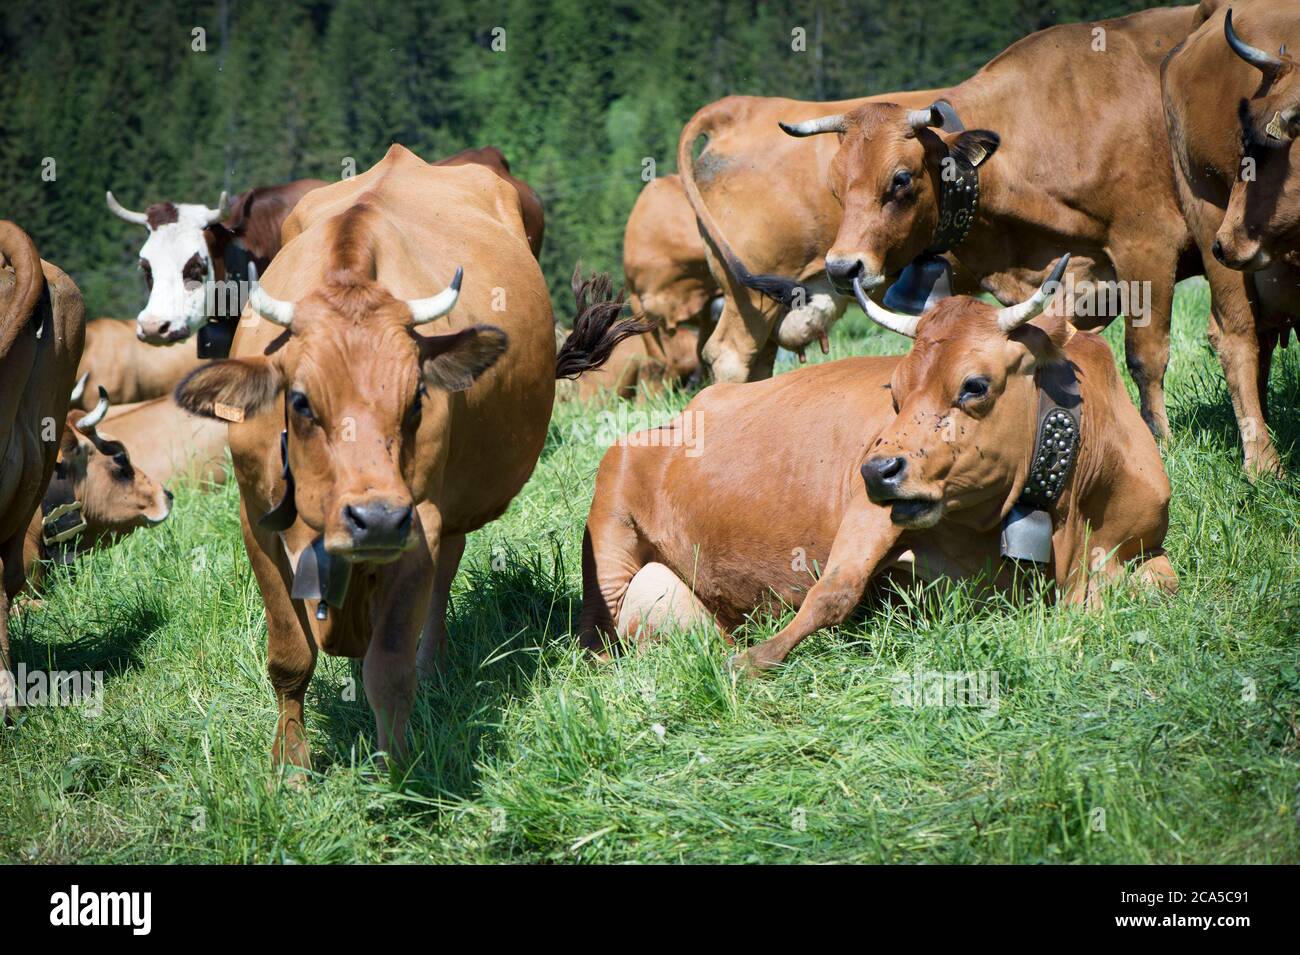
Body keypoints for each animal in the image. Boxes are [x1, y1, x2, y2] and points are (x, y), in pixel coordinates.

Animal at [172, 144, 646, 772]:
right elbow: (289, 657)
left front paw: (395, 769)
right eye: (300, 401)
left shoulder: (418, 519)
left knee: (444, 573)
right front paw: (291, 766)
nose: (375, 518)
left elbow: (390, 668)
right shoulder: (258, 523)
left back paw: (432, 666)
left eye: (416, 397)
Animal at [579, 258, 1179, 674]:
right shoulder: (869, 512)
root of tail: (693, 407)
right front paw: (753, 660)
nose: (876, 470)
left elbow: (1163, 586)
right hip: (609, 527)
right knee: (598, 637)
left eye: (975, 385)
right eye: (894, 389)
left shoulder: (1144, 543)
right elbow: (833, 592)